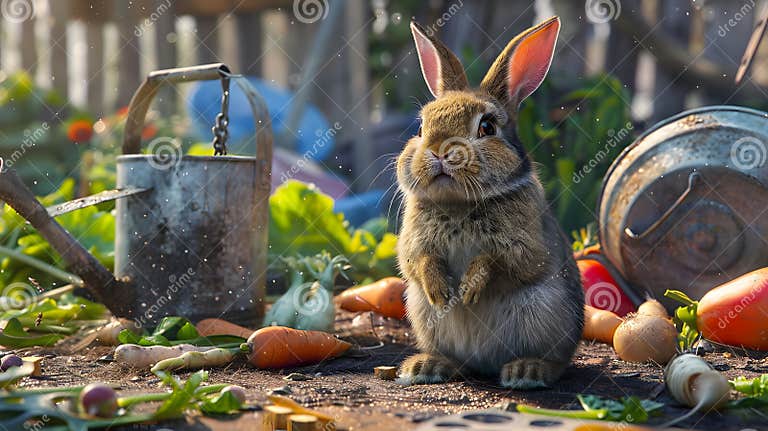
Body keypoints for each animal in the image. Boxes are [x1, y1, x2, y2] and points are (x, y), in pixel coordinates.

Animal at [396, 16, 584, 390]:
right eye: (422, 127)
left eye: (487, 127)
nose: (440, 151)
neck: (458, 204)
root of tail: (484, 365)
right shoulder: (415, 245)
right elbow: (418, 262)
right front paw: (442, 291)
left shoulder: (523, 246)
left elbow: (503, 262)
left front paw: (468, 290)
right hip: (422, 313)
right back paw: (426, 366)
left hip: (547, 312)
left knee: (556, 363)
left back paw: (526, 371)